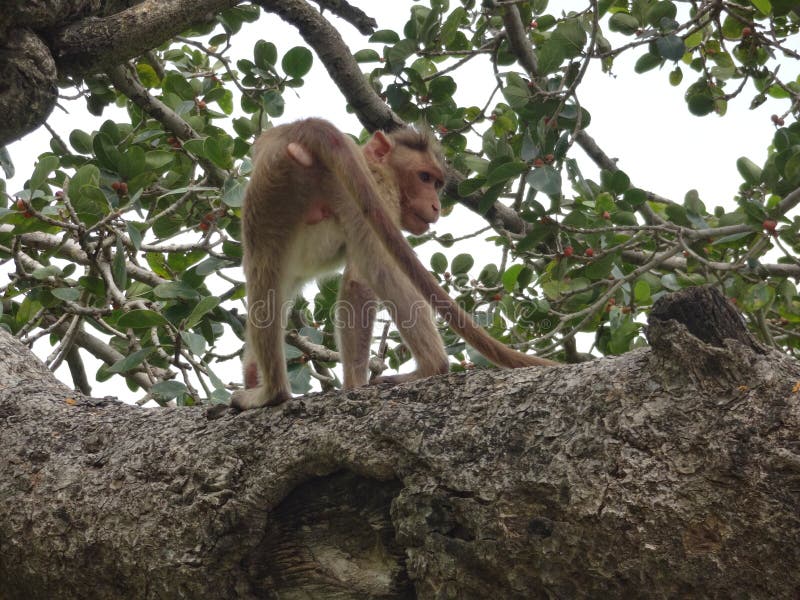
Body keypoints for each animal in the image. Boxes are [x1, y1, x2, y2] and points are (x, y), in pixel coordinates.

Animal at [230, 118, 556, 410]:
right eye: (424, 178)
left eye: (437, 183)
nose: (436, 205)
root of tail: (305, 127)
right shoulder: (378, 186)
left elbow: (356, 281)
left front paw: (351, 385)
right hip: (277, 186)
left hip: (276, 188)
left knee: (264, 273)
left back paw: (272, 393)